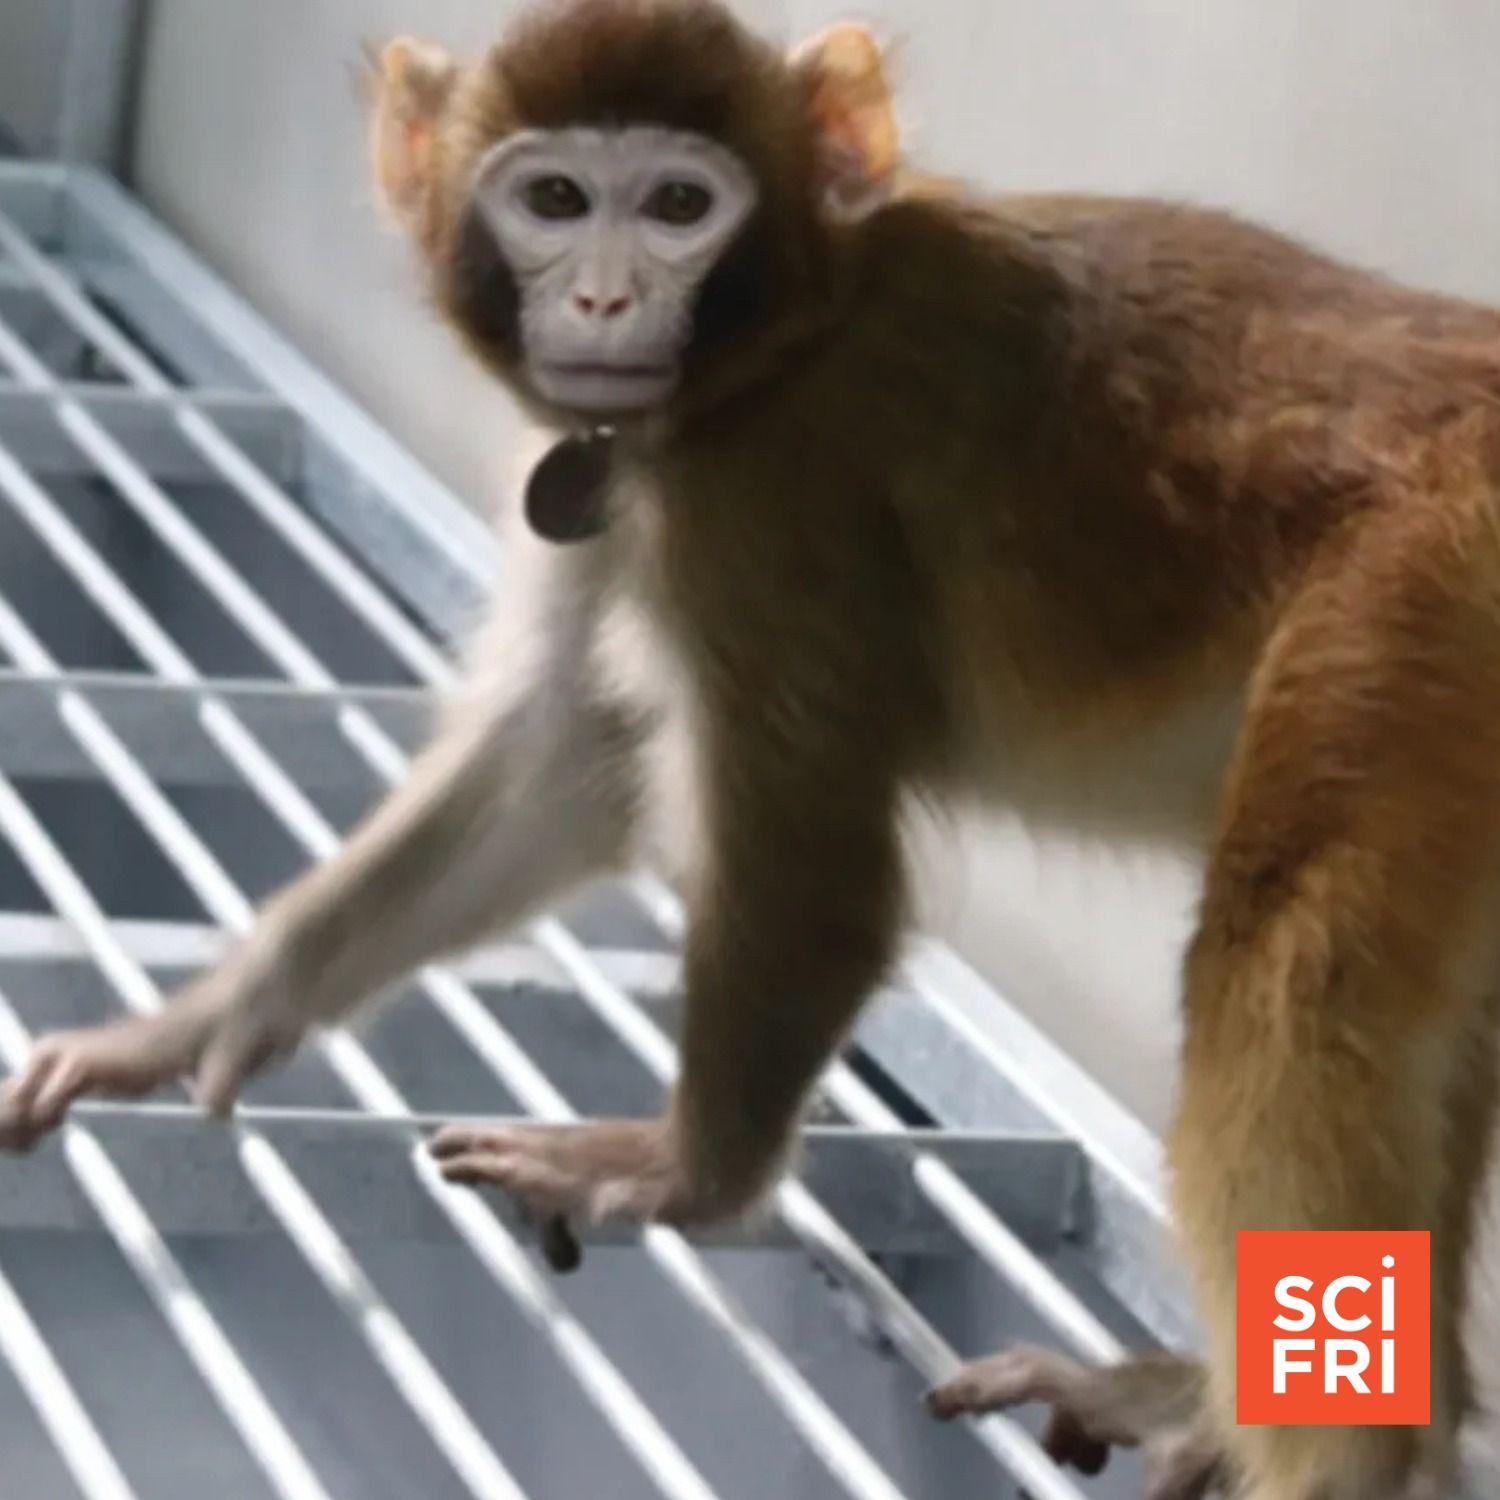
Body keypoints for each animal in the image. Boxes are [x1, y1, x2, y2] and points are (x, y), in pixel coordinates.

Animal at [2, 1, 1499, 1494]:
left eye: (679, 205)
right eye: (555, 199)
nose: (605, 302)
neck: (786, 334)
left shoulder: (767, 503)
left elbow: (817, 881)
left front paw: (686, 1178)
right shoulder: (618, 487)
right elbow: (566, 761)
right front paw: (204, 1018)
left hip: (1414, 602)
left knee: (1289, 966)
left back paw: (1341, 1456)